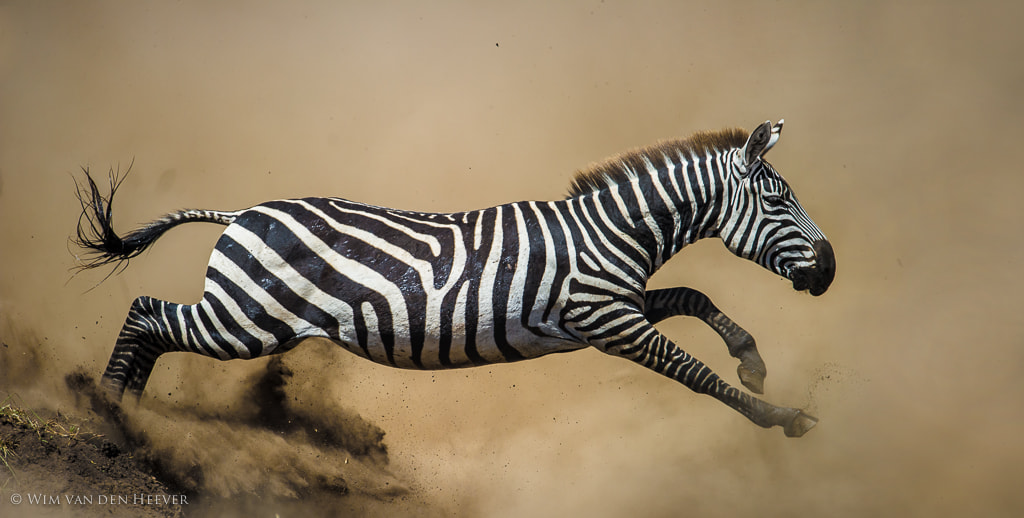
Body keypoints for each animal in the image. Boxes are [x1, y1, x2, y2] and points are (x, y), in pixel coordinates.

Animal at [73, 120, 834, 437]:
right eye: (777, 201)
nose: (829, 271)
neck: (609, 232)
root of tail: (244, 212)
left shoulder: (608, 308)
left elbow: (692, 296)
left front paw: (752, 360)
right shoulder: (610, 320)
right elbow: (691, 371)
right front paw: (783, 416)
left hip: (245, 318)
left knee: (154, 323)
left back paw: (127, 413)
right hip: (245, 319)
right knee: (146, 311)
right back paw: (107, 406)